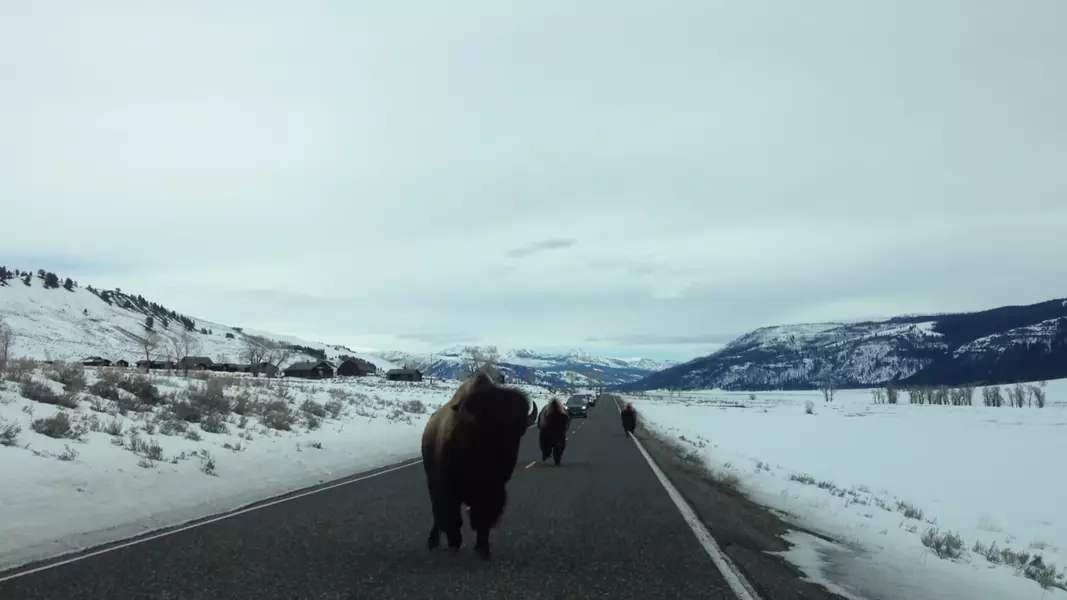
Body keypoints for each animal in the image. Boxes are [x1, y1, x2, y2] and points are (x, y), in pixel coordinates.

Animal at [416, 369, 533, 555]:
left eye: (519, 432)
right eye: (489, 430)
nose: (506, 462)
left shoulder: (492, 490)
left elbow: (482, 518)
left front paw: (482, 549)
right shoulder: (448, 487)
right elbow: (452, 516)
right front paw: (455, 543)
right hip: (433, 482)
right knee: (438, 514)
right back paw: (433, 542)